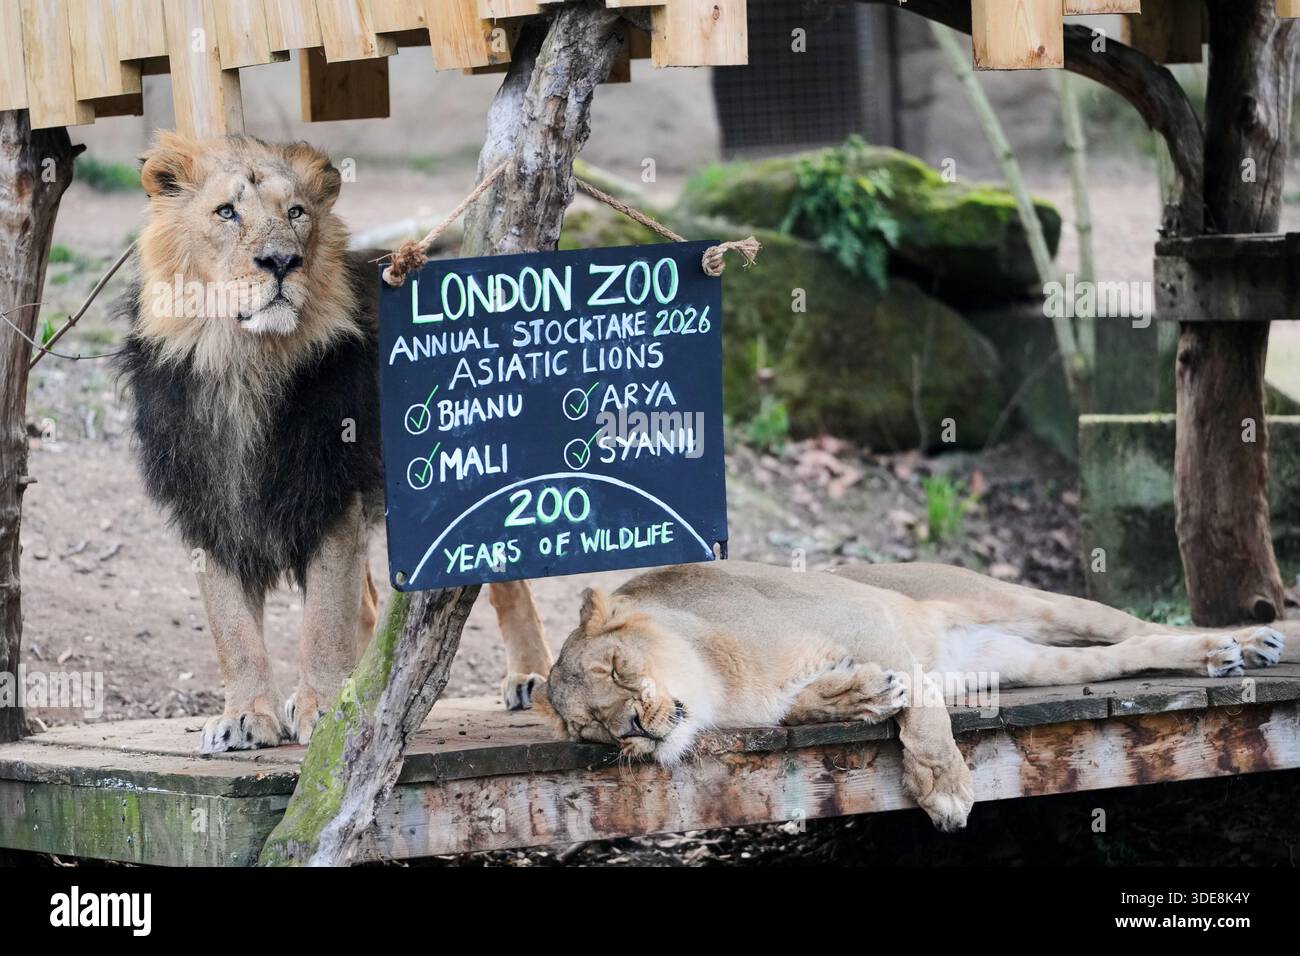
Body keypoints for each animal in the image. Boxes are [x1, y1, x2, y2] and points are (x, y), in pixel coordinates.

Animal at [116, 132, 553, 753]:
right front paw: (246, 715)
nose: (281, 261)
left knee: (506, 576)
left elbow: (323, 616)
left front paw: (322, 707)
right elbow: (232, 628)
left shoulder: (330, 492)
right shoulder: (209, 506)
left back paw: (530, 675)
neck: (243, 363)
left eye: (297, 213)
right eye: (226, 212)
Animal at [531, 560, 1291, 831]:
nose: (635, 727)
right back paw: (1228, 652)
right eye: (593, 730)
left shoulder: (868, 618)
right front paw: (856, 693)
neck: (721, 687)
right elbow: (829, 697)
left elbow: (921, 707)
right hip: (1013, 659)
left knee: (1139, 625)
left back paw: (1248, 643)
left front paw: (942, 784)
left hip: (1023, 601)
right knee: (1120, 654)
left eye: (618, 669)